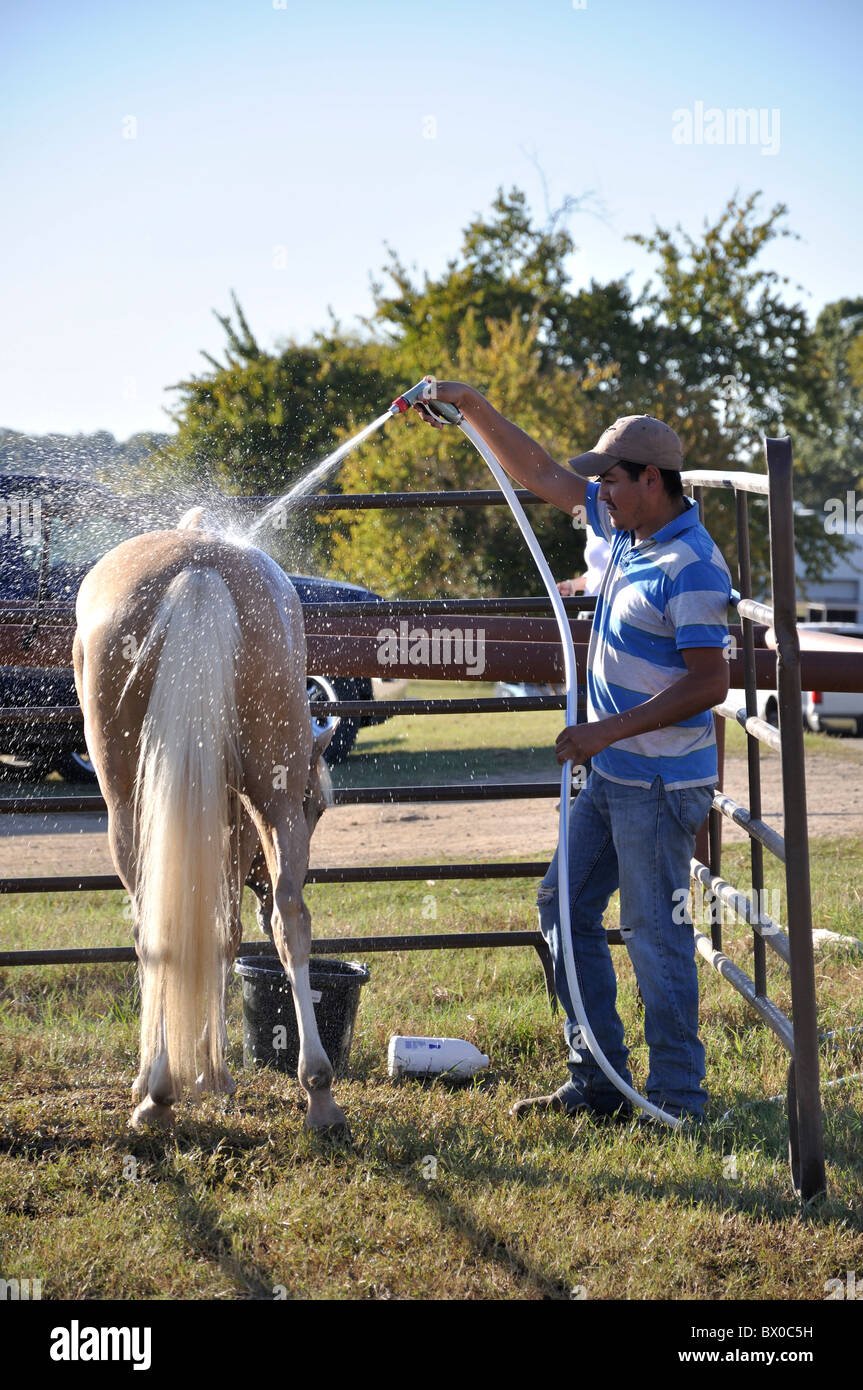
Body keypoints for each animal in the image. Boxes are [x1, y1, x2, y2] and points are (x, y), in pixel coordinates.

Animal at [73, 508, 347, 1132]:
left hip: (129, 807)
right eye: (318, 805)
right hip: (265, 790)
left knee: (164, 922)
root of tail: (197, 568)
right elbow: (223, 931)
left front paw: (200, 1074)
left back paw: (157, 1092)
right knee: (289, 917)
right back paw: (318, 1095)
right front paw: (209, 1072)